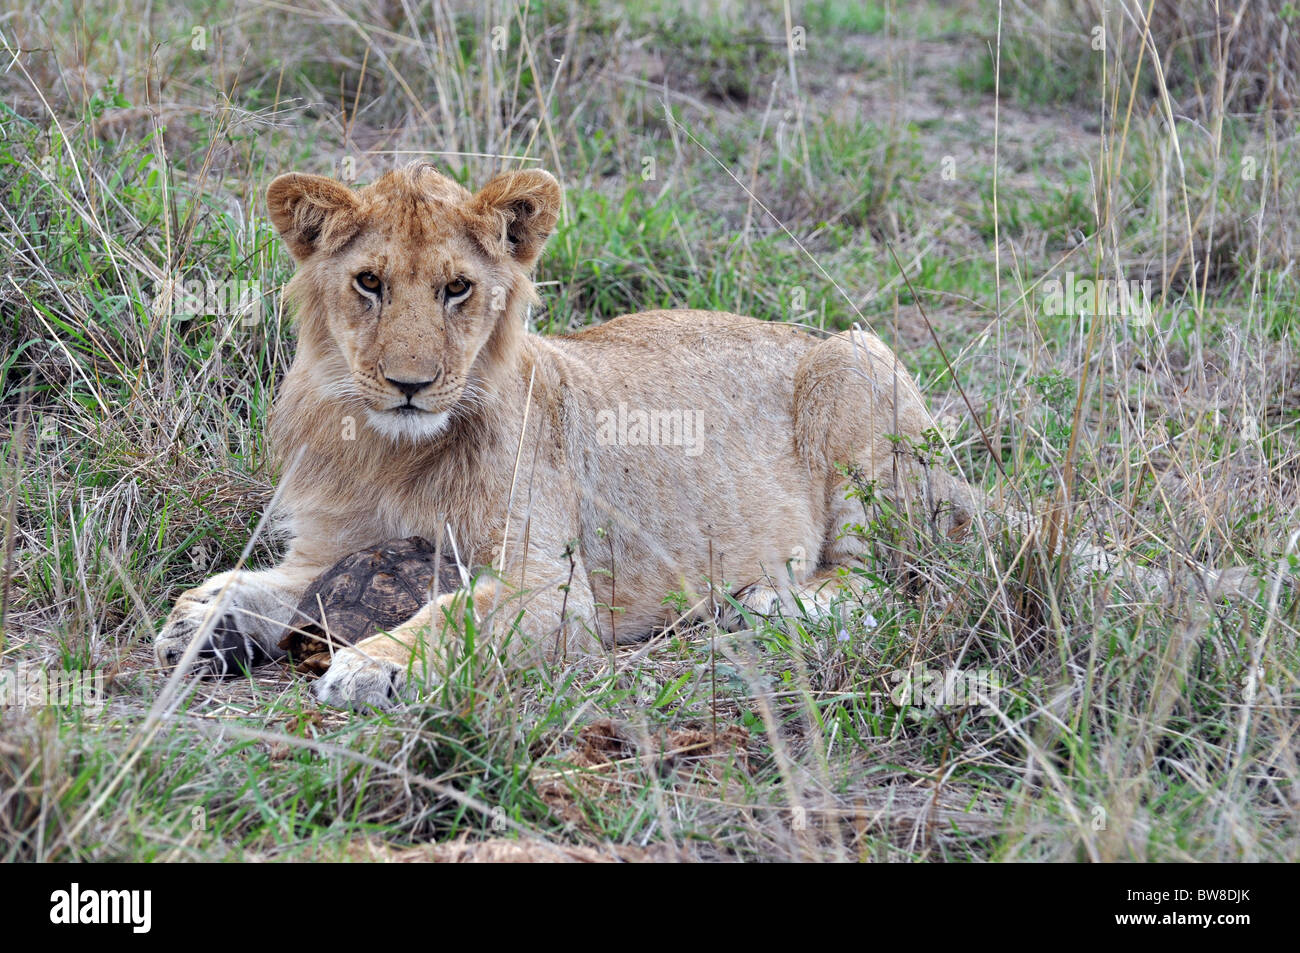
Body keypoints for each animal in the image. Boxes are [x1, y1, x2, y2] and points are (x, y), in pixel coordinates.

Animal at [155, 162, 1250, 708]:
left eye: (458, 289)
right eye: (369, 282)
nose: (412, 383)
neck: (390, 444)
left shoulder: (553, 586)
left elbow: (451, 614)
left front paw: (375, 663)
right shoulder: (327, 549)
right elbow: (258, 585)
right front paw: (201, 620)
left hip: (856, 372)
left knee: (881, 582)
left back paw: (774, 606)